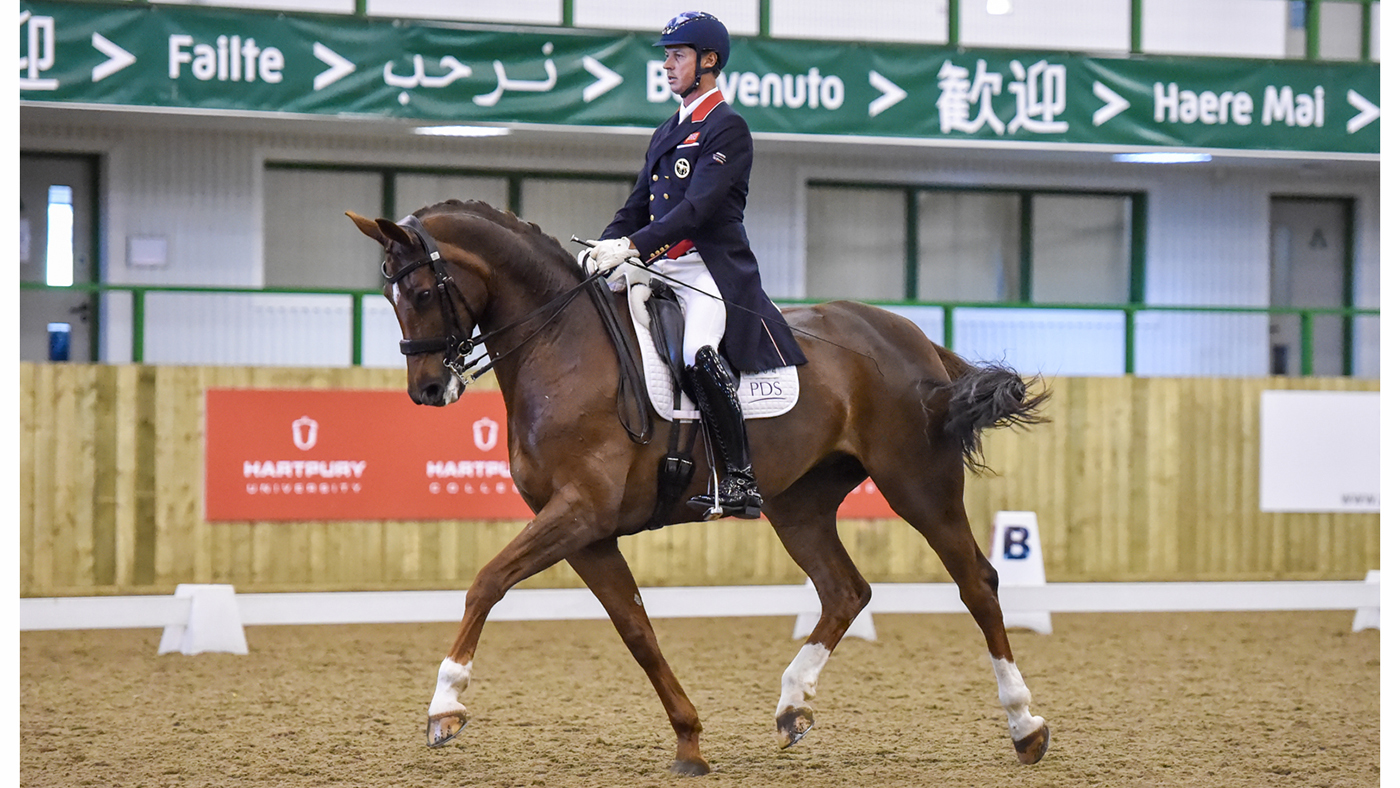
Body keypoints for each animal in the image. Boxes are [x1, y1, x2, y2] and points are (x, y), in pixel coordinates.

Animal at [347, 199, 1051, 775]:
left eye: (420, 290)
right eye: (390, 295)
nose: (427, 389)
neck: (562, 348)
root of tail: (914, 337)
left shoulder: (579, 512)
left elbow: (487, 581)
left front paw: (445, 706)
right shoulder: (585, 531)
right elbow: (636, 629)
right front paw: (689, 740)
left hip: (918, 484)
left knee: (977, 583)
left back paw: (1025, 725)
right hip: (799, 503)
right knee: (845, 590)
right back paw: (792, 706)